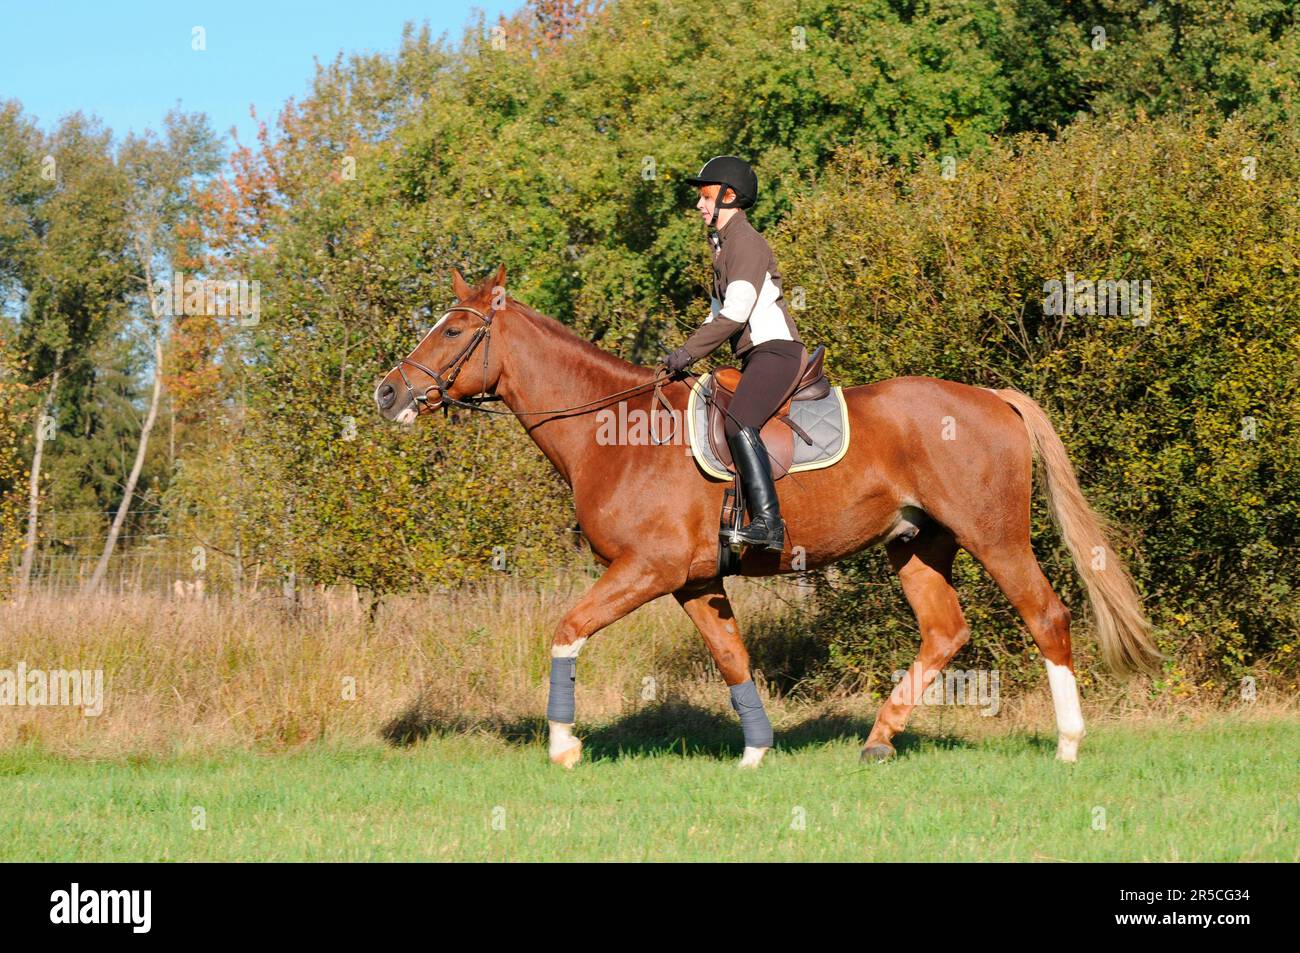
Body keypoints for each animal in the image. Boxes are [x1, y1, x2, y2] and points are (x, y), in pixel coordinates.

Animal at [375, 265, 1160, 769]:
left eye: (454, 332)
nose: (387, 394)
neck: (615, 433)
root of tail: (994, 397)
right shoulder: (693, 580)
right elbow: (732, 656)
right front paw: (756, 750)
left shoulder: (647, 568)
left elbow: (568, 630)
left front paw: (564, 747)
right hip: (915, 544)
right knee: (946, 630)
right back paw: (879, 739)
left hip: (994, 537)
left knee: (1046, 616)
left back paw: (1067, 743)